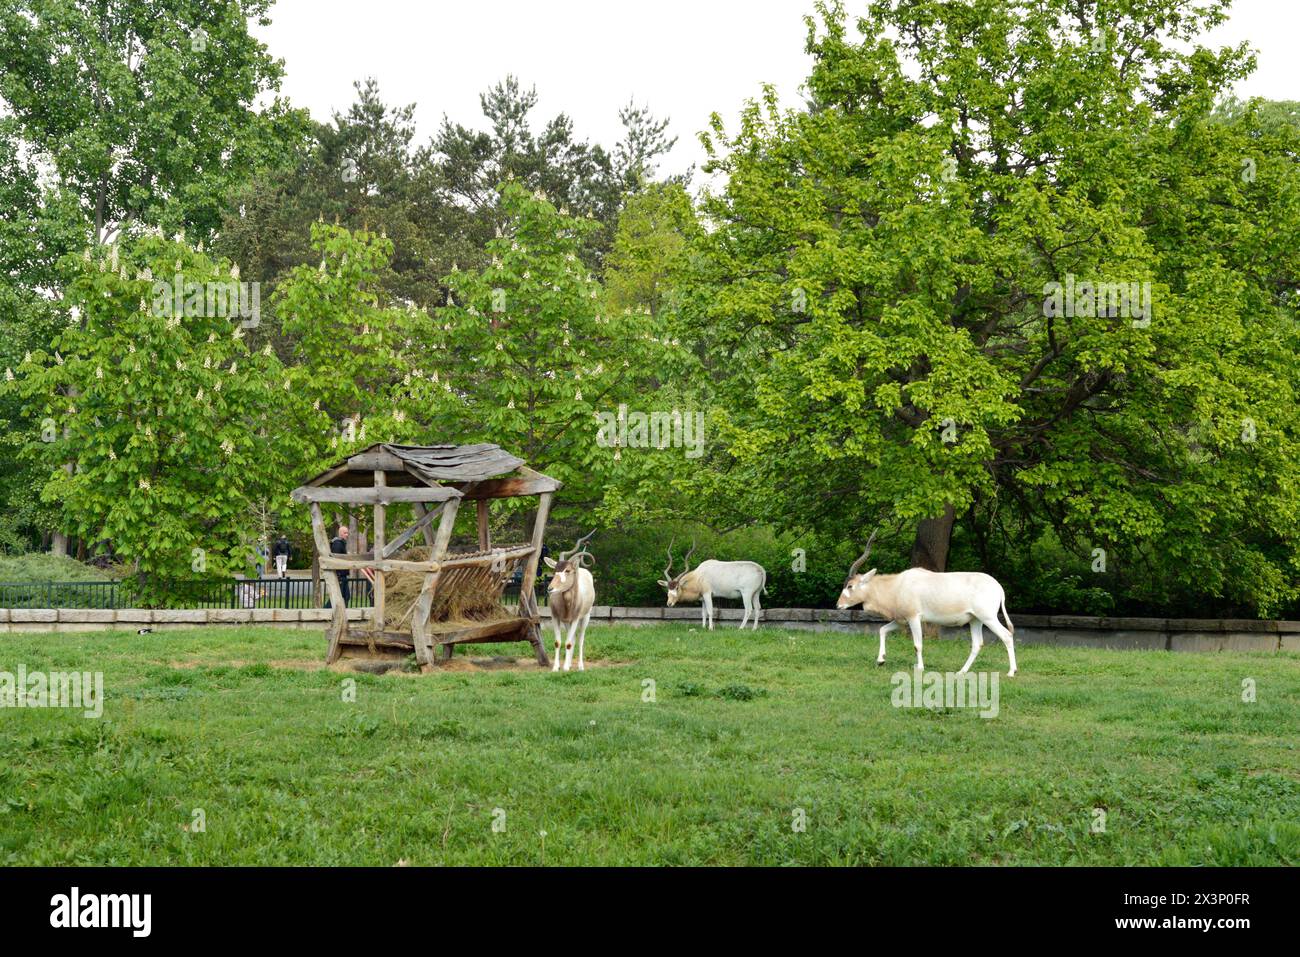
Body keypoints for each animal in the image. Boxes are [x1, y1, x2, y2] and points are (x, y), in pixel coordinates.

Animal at [544, 530, 596, 672]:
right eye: (555, 571)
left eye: (567, 570)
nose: (550, 589)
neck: (567, 604)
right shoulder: (556, 617)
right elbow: (558, 642)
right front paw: (556, 667)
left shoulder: (575, 619)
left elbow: (568, 643)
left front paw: (566, 669)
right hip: (566, 622)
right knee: (572, 639)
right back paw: (568, 663)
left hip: (585, 617)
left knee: (580, 640)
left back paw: (580, 666)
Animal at [837, 530, 1017, 676]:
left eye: (850, 586)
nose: (838, 605)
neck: (897, 585)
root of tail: (998, 587)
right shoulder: (902, 620)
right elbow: (882, 630)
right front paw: (881, 660)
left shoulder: (914, 618)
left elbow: (917, 645)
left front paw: (920, 668)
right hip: (975, 620)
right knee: (977, 644)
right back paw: (961, 671)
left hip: (988, 618)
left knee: (1006, 636)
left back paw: (1011, 672)